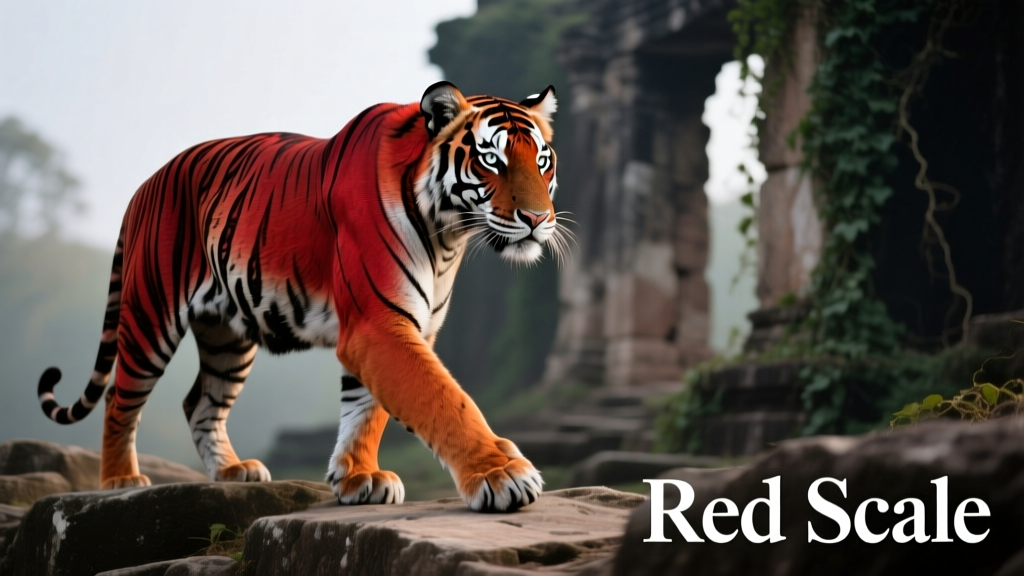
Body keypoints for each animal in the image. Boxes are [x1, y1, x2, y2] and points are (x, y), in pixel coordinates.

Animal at [36, 81, 568, 512]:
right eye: (492, 159)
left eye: (542, 161)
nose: (538, 219)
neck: (448, 235)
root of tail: (142, 187)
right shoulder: (378, 323)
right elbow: (443, 399)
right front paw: (501, 475)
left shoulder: (398, 327)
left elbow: (366, 409)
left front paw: (356, 478)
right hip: (151, 316)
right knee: (120, 399)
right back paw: (120, 479)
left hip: (227, 336)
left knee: (200, 402)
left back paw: (233, 472)